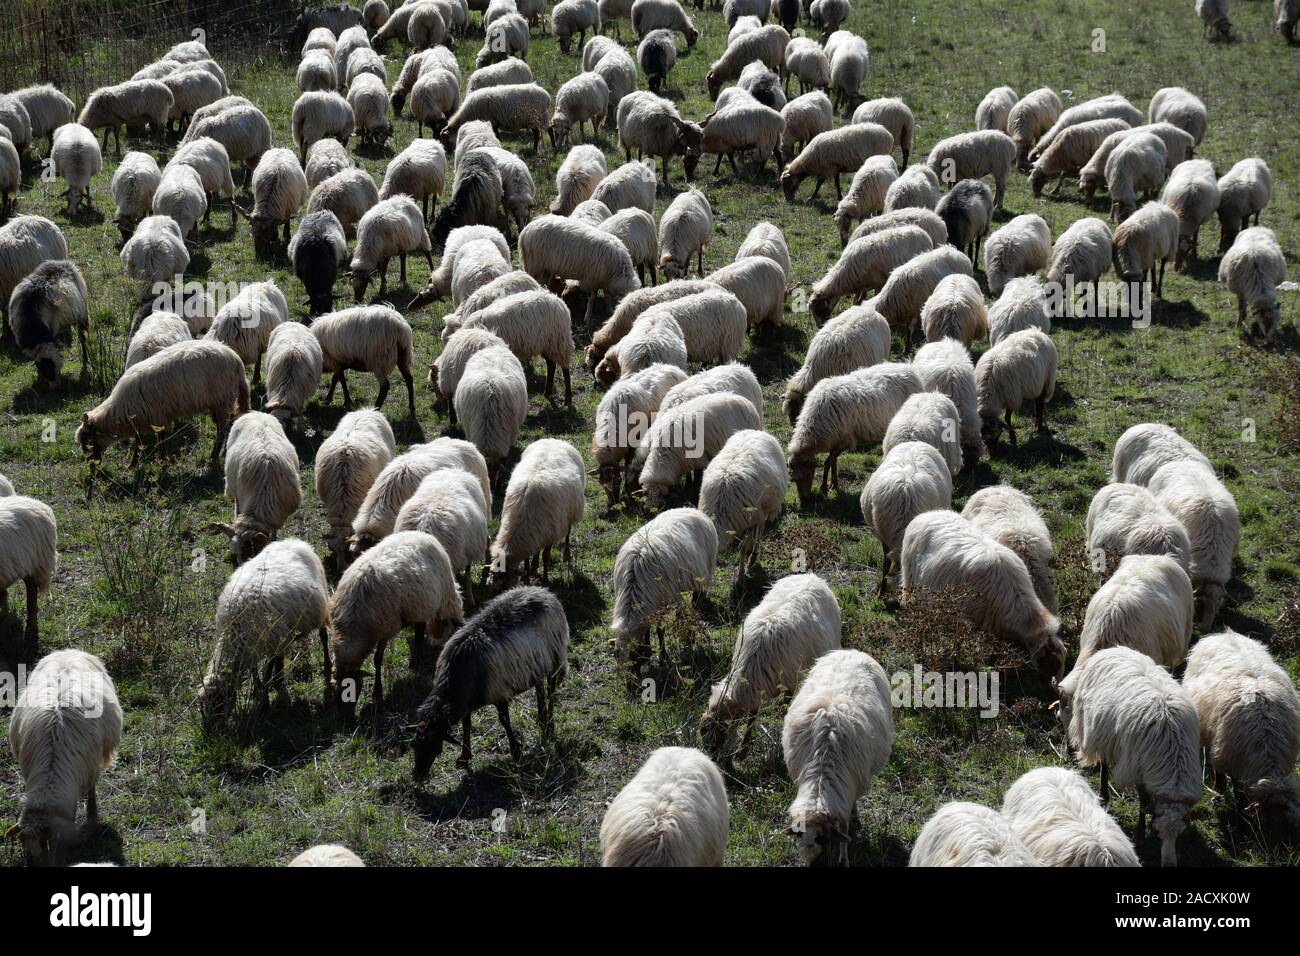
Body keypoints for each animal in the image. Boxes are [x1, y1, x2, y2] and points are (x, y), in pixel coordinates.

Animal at [76, 339, 249, 469]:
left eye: (88, 442)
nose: (92, 466)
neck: (121, 410)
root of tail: (236, 358)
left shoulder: (156, 417)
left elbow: (160, 440)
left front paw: (163, 461)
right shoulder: (142, 418)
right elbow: (139, 442)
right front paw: (132, 465)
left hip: (221, 398)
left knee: (222, 429)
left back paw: (214, 456)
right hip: (221, 401)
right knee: (231, 420)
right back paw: (226, 449)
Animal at [329, 530, 465, 724]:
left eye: (350, 691)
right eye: (334, 695)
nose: (345, 723)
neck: (355, 627)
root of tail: (422, 534)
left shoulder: (386, 627)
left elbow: (378, 659)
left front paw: (377, 693)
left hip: (445, 594)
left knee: (452, 616)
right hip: (419, 603)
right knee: (420, 626)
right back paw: (417, 657)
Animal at [611, 507, 718, 662]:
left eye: (633, 657)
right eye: (615, 656)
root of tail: (691, 509)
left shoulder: (662, 602)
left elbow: (659, 629)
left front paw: (662, 656)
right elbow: (648, 628)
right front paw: (648, 649)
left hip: (704, 572)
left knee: (696, 597)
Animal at [786, 362, 922, 501]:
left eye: (808, 474)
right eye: (793, 479)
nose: (805, 500)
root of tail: (907, 368)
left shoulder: (845, 440)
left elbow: (827, 462)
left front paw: (824, 488)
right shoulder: (835, 439)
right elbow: (833, 462)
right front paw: (833, 484)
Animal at [1056, 646, 1201, 866]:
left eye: (1180, 834)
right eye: (1157, 831)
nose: (1168, 863)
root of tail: (1113, 649)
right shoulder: (1138, 766)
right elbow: (1143, 800)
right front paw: (1139, 836)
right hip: (1100, 733)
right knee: (1104, 764)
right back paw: (1103, 795)